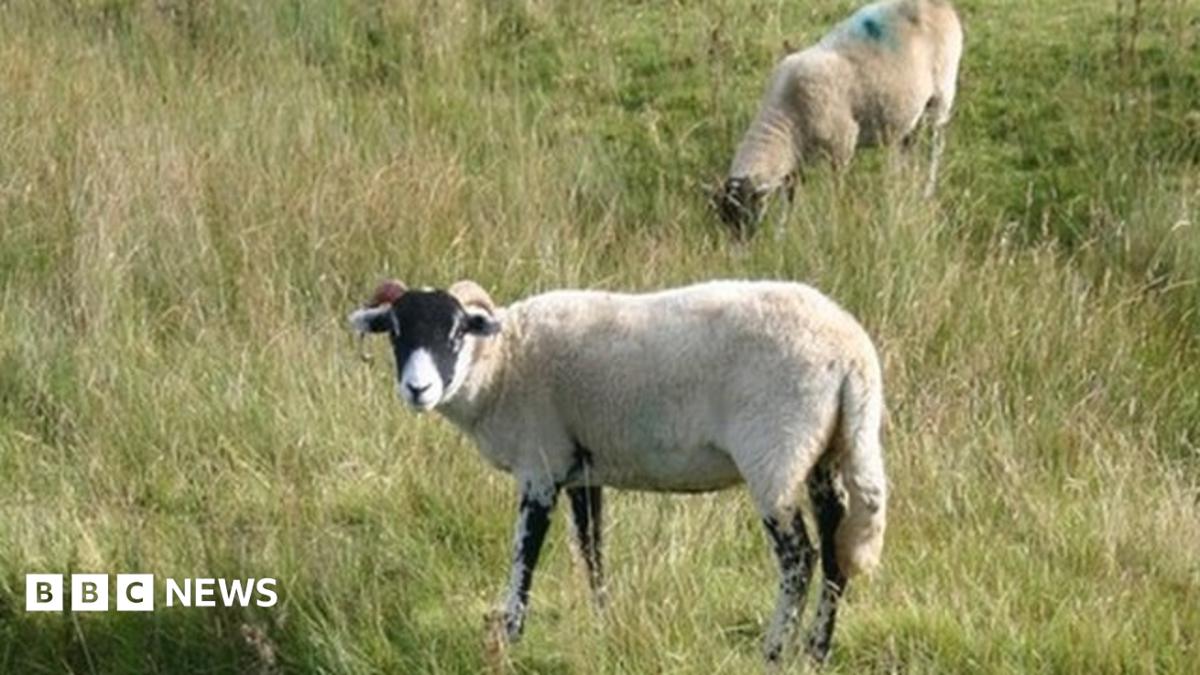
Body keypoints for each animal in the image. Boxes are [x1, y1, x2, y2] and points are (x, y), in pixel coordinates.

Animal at [349, 278, 888, 665]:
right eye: (396, 332)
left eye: (457, 332)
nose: (417, 390)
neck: (503, 365)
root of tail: (854, 353)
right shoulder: (583, 470)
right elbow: (593, 552)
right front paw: (603, 622)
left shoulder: (540, 466)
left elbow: (524, 557)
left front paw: (511, 632)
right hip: (823, 453)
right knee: (835, 551)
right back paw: (817, 652)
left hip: (775, 453)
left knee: (799, 557)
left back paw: (774, 652)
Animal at [714, 0, 963, 235]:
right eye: (724, 219)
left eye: (745, 214)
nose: (740, 249)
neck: (785, 119)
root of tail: (940, 5)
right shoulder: (795, 159)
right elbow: (790, 197)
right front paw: (781, 234)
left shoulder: (842, 145)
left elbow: (836, 188)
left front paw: (832, 219)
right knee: (908, 145)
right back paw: (900, 185)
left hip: (942, 95)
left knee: (936, 144)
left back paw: (927, 189)